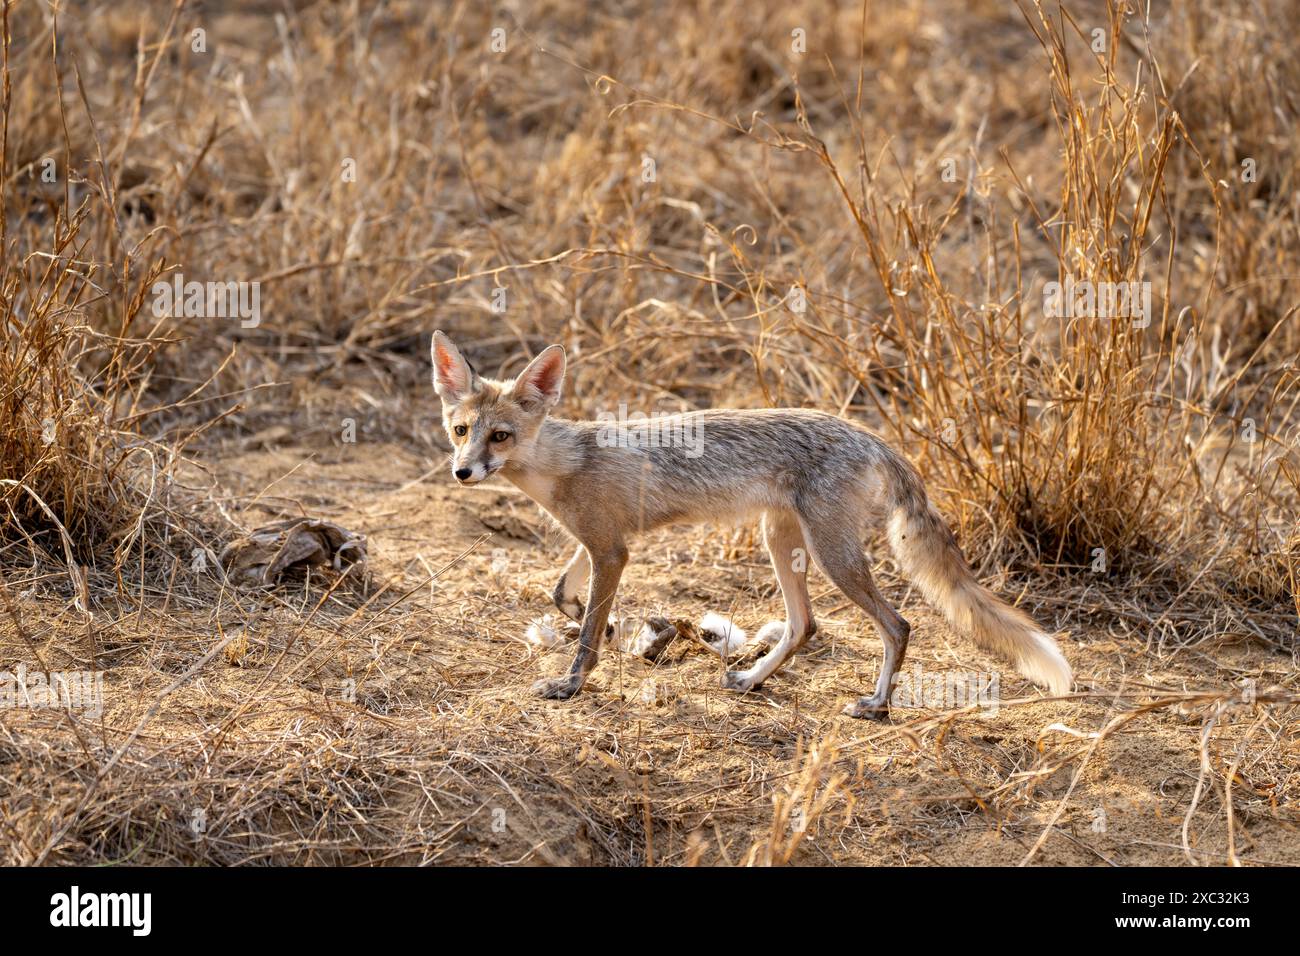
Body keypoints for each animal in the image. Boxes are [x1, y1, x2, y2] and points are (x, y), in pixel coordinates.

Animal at [431, 331, 1072, 718]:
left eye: (501, 436)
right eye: (461, 430)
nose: (463, 472)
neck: (565, 464)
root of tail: (870, 435)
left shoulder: (613, 551)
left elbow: (587, 633)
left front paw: (572, 682)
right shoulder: (603, 542)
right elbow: (563, 593)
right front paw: (599, 627)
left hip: (833, 555)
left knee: (898, 625)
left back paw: (876, 704)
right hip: (781, 540)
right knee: (805, 625)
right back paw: (753, 679)